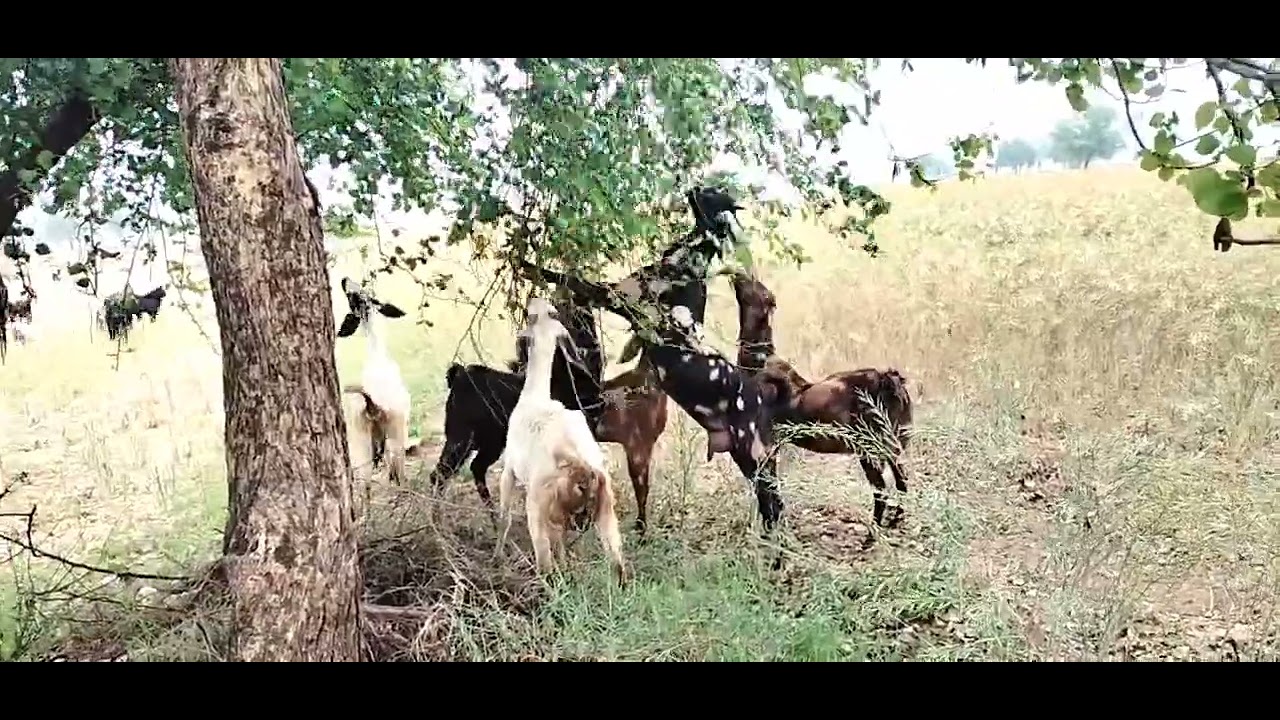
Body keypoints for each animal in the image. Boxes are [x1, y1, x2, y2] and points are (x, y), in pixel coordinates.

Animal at [335, 277, 411, 485]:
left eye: (357, 294)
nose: (344, 279)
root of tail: (371, 404)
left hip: (360, 437)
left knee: (365, 477)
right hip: (394, 428)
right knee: (398, 468)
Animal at [498, 298, 626, 581]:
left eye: (531, 315)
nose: (534, 299)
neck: (534, 396)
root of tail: (580, 467)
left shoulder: (509, 470)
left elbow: (504, 517)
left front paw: (497, 554)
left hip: (538, 509)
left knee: (545, 563)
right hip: (604, 509)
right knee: (617, 562)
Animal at [729, 270, 915, 531]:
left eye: (759, 287)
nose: (740, 272)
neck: (758, 359)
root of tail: (892, 381)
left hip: (869, 448)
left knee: (882, 491)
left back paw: (873, 532)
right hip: (891, 445)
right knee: (901, 482)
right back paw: (894, 519)